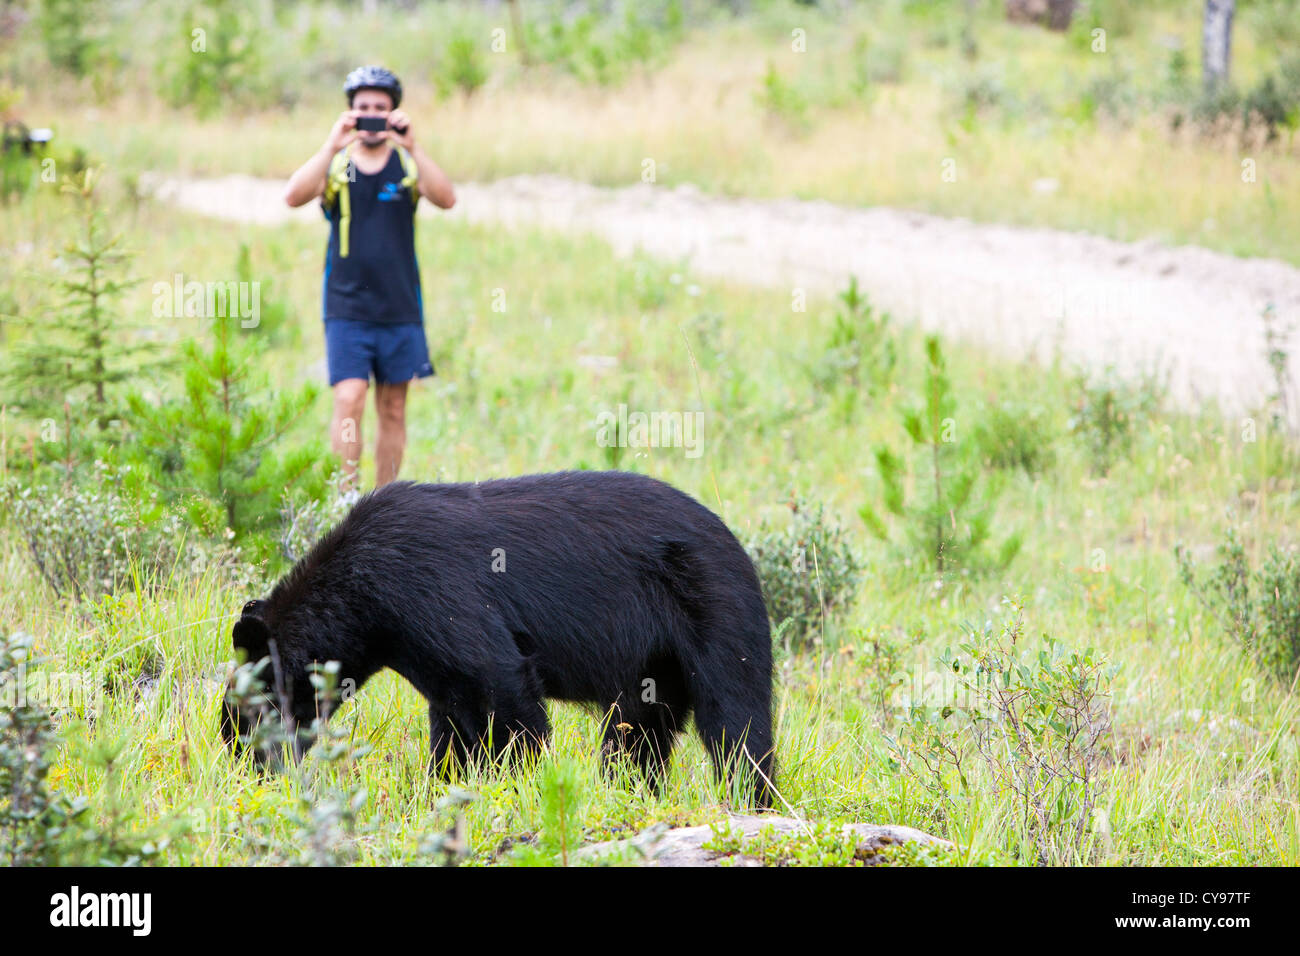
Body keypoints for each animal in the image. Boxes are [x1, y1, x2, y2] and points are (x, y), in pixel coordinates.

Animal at [220, 470, 777, 808]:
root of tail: (738, 544)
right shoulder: (424, 653)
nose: (246, 773)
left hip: (715, 610)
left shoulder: (430, 589)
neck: (360, 597)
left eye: (243, 726)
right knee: (638, 730)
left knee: (735, 715)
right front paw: (442, 788)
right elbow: (450, 719)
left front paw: (520, 787)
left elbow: (500, 687)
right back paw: (630, 791)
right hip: (652, 664)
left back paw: (752, 800)